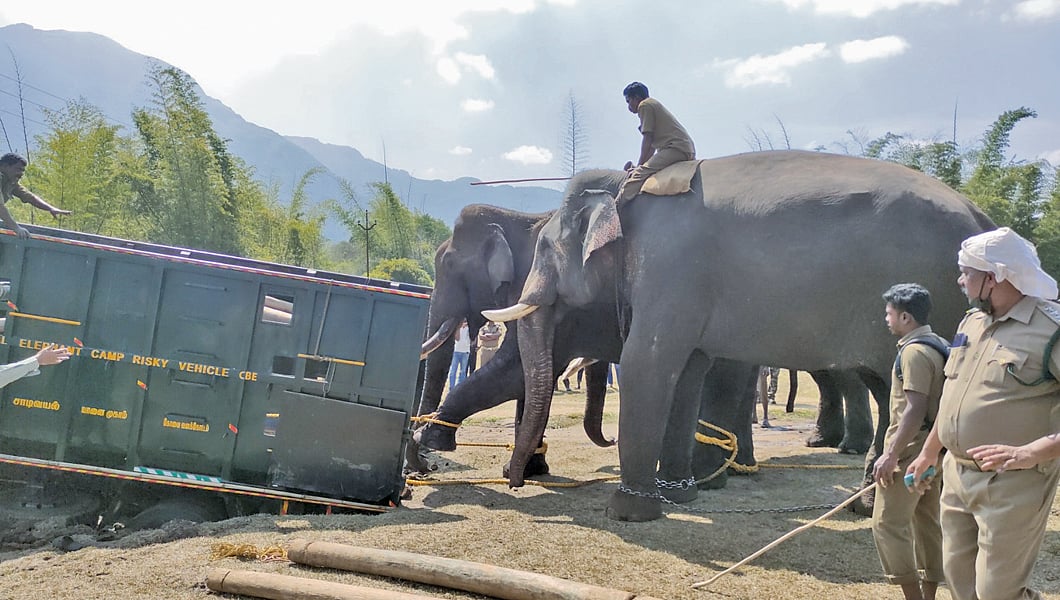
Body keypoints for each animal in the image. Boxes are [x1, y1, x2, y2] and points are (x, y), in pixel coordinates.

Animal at [487, 150, 995, 521]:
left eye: (545, 249)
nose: (515, 479)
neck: (626, 185)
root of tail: (982, 216)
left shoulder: (671, 271)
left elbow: (647, 363)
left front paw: (628, 512)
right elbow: (688, 371)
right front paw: (681, 497)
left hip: (937, 305)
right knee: (888, 390)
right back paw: (866, 506)